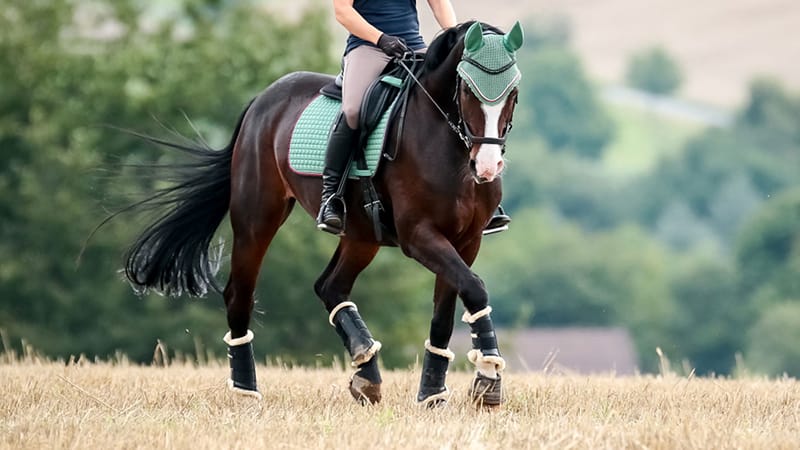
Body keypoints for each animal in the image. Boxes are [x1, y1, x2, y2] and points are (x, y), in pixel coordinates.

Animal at [121, 20, 524, 408]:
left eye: (513, 94)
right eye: (468, 90)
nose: (487, 166)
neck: (449, 144)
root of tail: (262, 99)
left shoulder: (465, 241)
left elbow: (449, 309)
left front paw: (437, 393)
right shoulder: (419, 236)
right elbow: (474, 288)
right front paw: (488, 375)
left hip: (361, 234)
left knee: (330, 286)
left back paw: (366, 372)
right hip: (257, 218)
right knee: (239, 294)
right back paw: (246, 390)